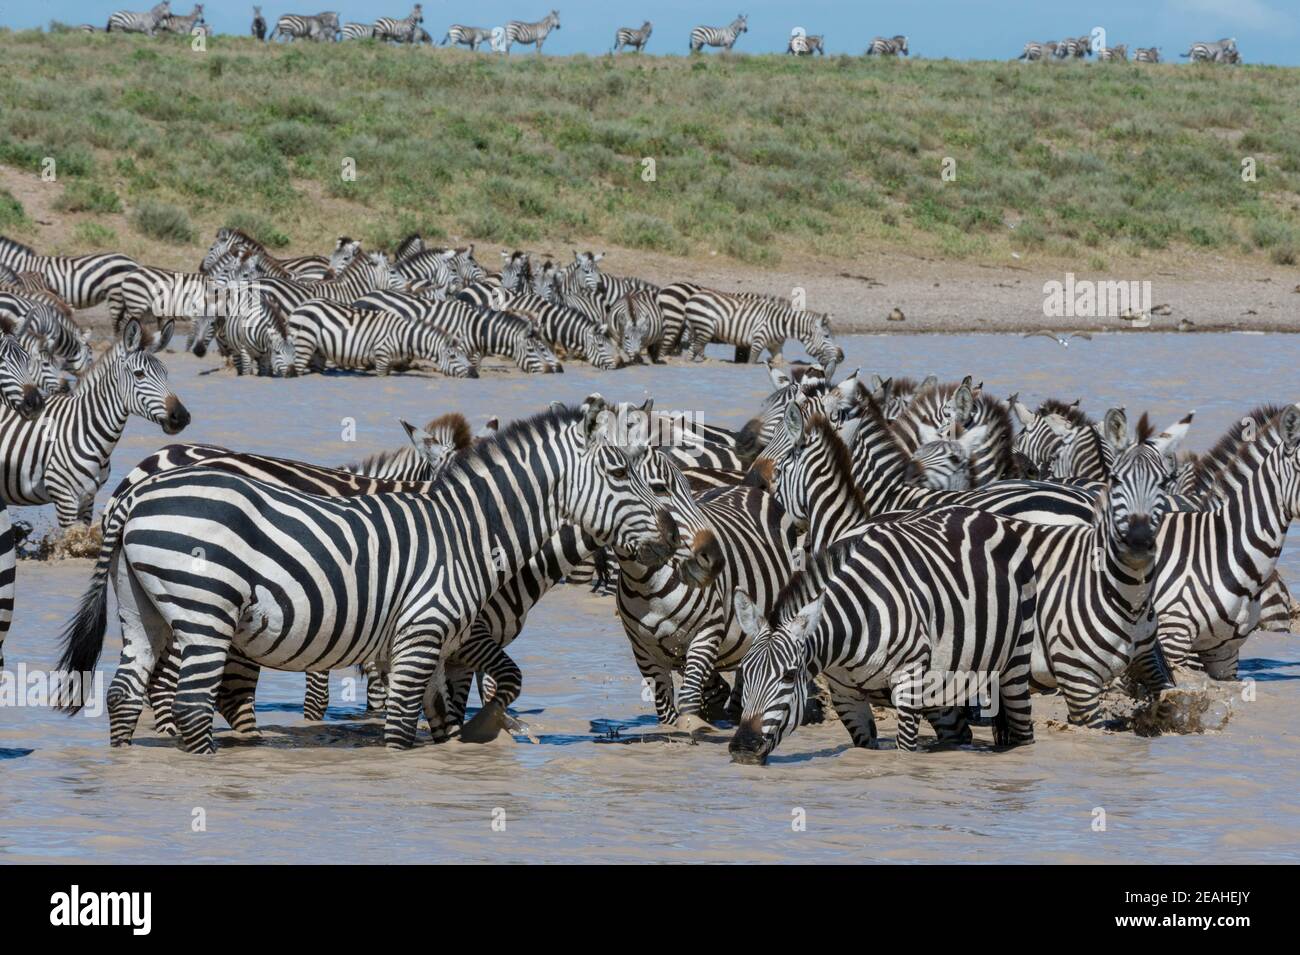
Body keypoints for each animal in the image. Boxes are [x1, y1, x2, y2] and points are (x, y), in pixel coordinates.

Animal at [0, 319, 189, 529]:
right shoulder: (65, 498)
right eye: (139, 374)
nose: (181, 416)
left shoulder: (88, 499)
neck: (84, 427)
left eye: (165, 373)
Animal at [58, 398, 679, 753]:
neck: (470, 533)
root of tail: (138, 491)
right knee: (188, 703)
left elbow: (446, 716)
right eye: (622, 474)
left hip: (143, 608)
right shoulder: (424, 636)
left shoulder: (438, 644)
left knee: (125, 693)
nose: (675, 538)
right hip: (205, 613)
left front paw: (477, 736)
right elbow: (403, 725)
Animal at [287, 300, 478, 377]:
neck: (403, 337)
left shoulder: (388, 361)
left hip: (318, 350)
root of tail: (301, 306)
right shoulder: (381, 356)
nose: (474, 375)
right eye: (453, 357)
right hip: (304, 343)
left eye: (464, 355)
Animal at [682, 289, 843, 367]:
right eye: (827, 336)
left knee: (692, 349)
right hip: (705, 328)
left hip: (698, 329)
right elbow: (751, 362)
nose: (842, 357)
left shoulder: (775, 346)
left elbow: (779, 361)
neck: (782, 324)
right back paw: (709, 361)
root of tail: (693, 297)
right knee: (698, 348)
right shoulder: (758, 342)